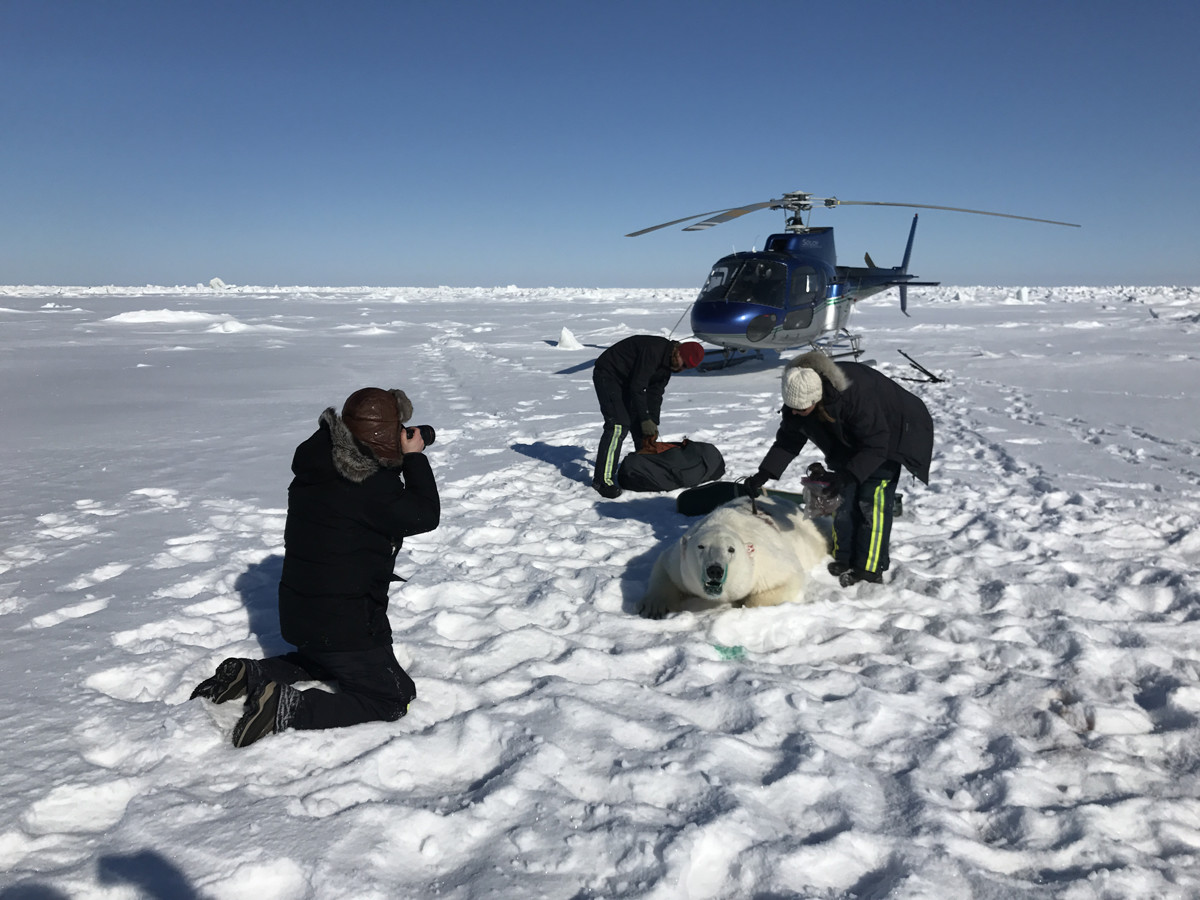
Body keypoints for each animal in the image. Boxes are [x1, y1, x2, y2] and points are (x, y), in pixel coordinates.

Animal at [638, 495, 829, 619]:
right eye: (701, 546)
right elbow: (664, 566)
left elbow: (787, 579)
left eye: (731, 549)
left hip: (807, 533)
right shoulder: (679, 560)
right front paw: (654, 607)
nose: (715, 570)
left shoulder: (766, 563)